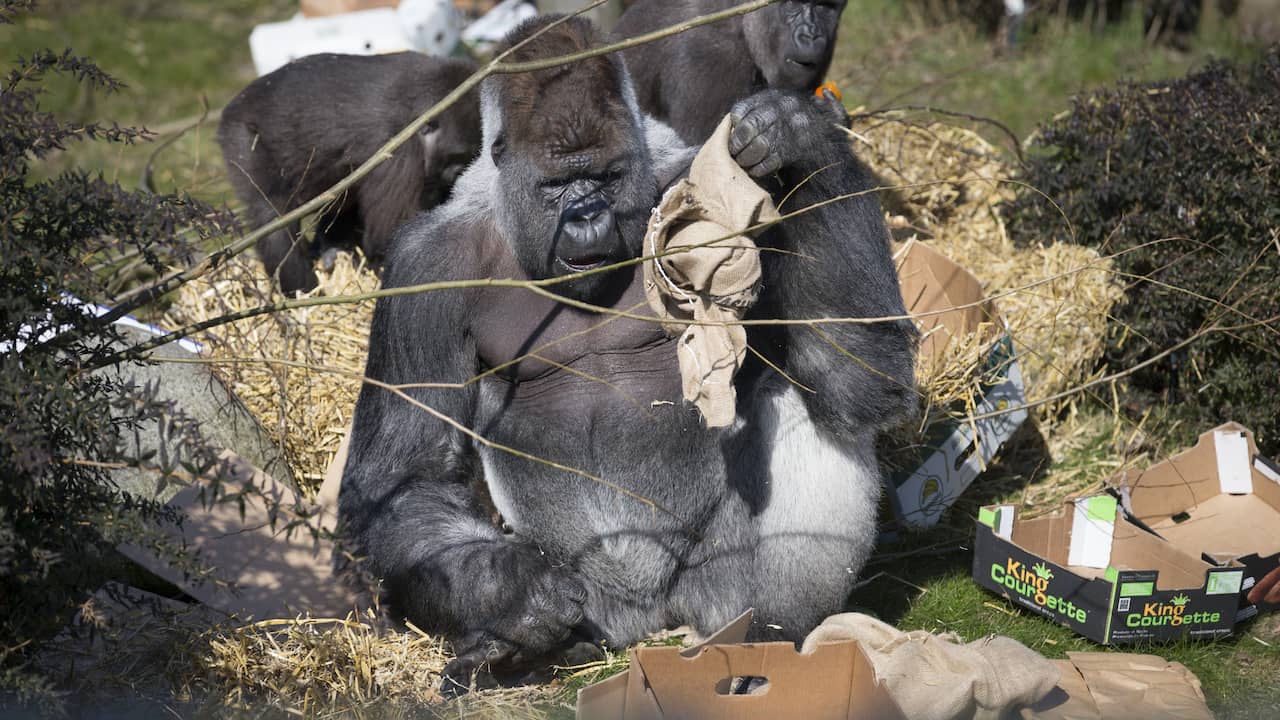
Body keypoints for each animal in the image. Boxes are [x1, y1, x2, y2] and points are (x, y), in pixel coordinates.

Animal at [218, 52, 481, 295]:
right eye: (458, 156)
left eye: (475, 155)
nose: (459, 175)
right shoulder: (398, 149)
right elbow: (390, 237)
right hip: (241, 136)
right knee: (272, 216)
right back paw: (301, 290)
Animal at [336, 15, 916, 691]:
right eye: (560, 186)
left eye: (608, 178)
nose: (587, 217)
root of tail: (647, 626)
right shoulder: (421, 272)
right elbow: (408, 479)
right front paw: (516, 590)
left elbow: (856, 370)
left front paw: (798, 134)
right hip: (603, 608)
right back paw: (523, 650)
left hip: (706, 600)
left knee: (810, 405)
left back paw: (770, 634)